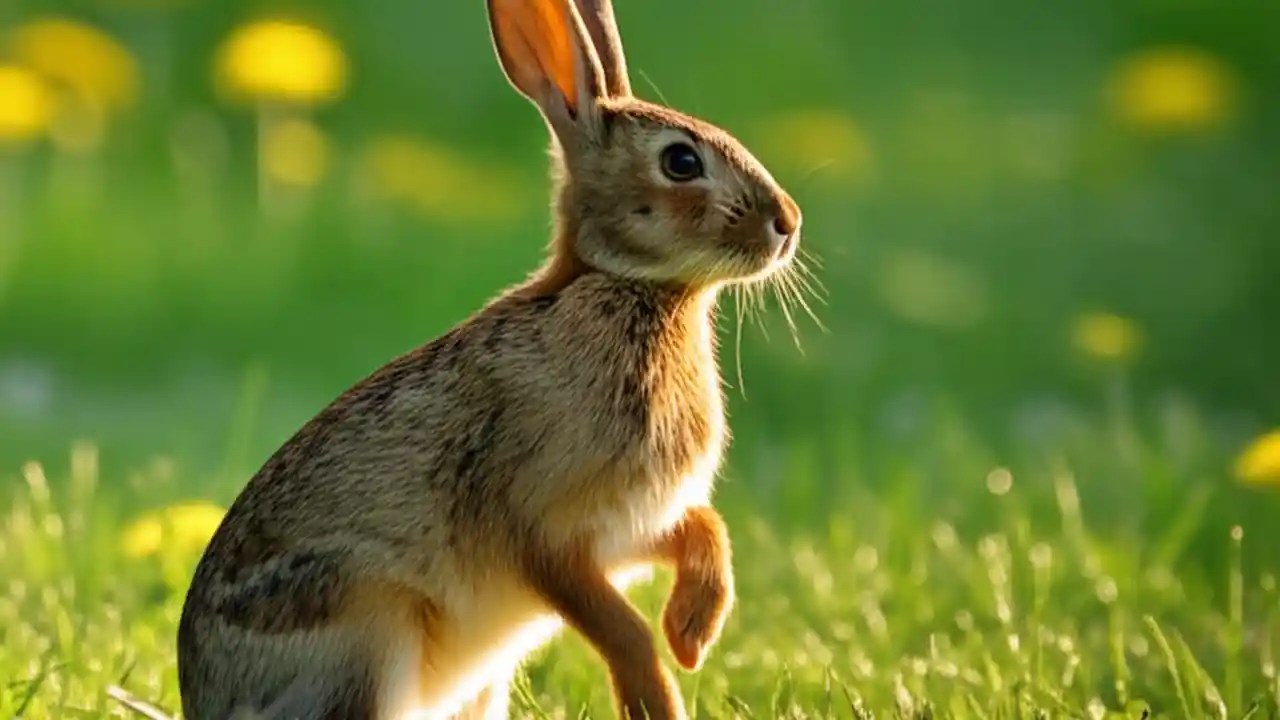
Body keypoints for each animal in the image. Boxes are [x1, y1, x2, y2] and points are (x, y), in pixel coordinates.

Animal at [176, 0, 802, 718]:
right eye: (680, 161)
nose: (788, 224)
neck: (624, 285)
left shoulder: (632, 526)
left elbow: (704, 529)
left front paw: (692, 634)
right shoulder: (539, 526)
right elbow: (619, 626)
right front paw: (656, 696)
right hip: (366, 631)